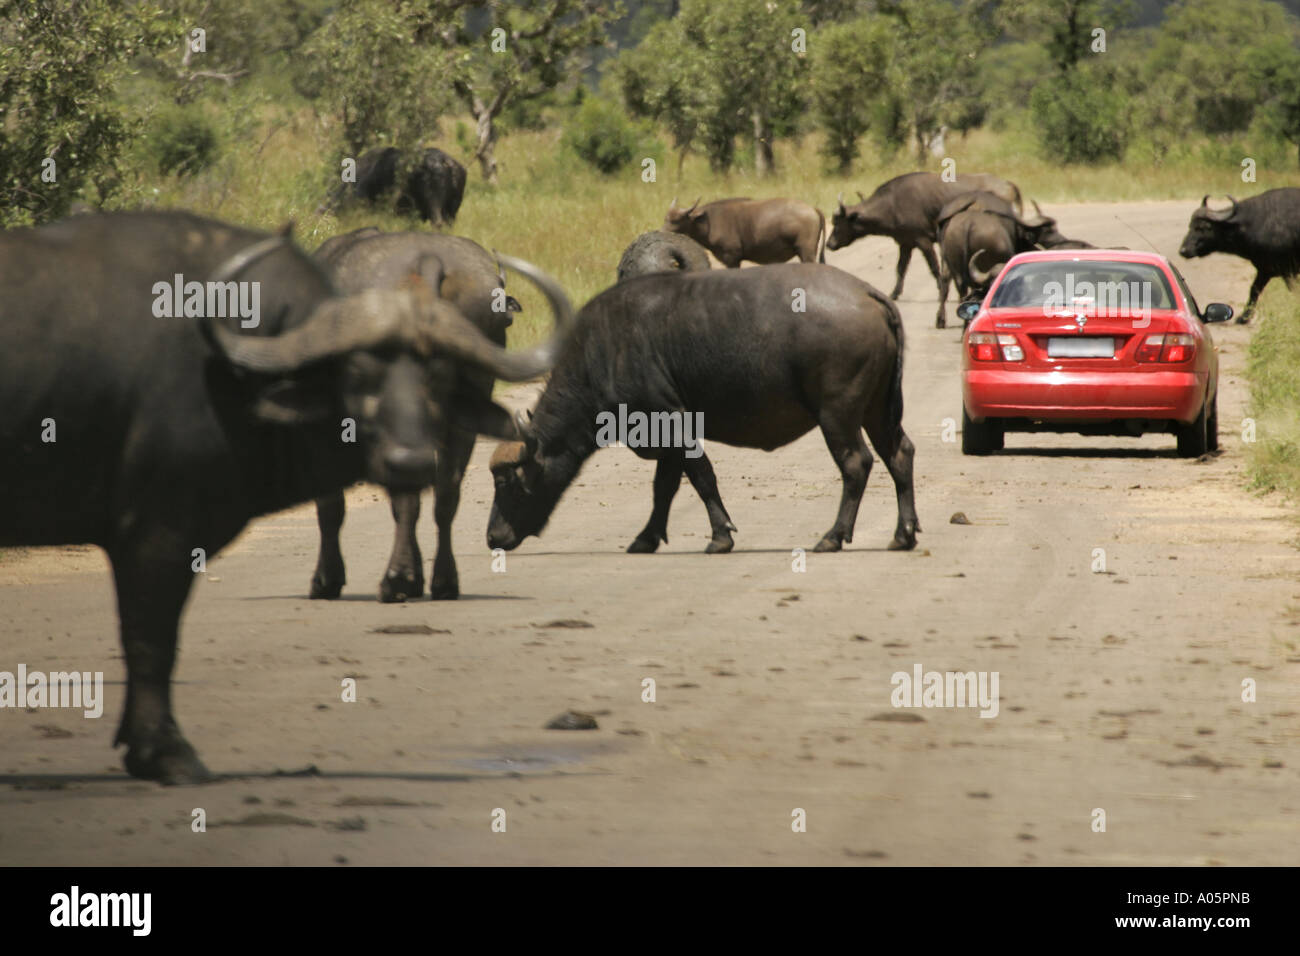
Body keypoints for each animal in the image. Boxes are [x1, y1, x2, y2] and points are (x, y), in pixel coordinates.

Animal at [310, 228, 531, 602]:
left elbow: (331, 506)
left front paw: (327, 579)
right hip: (463, 410)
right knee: (445, 495)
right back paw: (441, 580)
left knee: (407, 496)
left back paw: (398, 579)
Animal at [486, 263, 918, 557]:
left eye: (506, 482)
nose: (493, 536)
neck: (603, 353)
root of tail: (868, 294)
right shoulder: (665, 435)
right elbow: (665, 486)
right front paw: (646, 537)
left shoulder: (672, 422)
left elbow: (701, 477)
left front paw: (720, 535)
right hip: (876, 410)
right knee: (900, 453)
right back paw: (904, 533)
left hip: (837, 413)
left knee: (856, 463)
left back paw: (833, 536)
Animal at [662, 197, 826, 267]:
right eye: (666, 218)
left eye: (676, 220)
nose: (662, 232)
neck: (709, 222)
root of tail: (813, 209)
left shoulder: (732, 257)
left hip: (806, 251)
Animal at [1178, 189, 1300, 323]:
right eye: (1190, 225)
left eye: (1204, 227)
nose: (1183, 250)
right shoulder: (1265, 270)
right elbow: (1254, 290)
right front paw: (1244, 317)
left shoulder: (1286, 272)